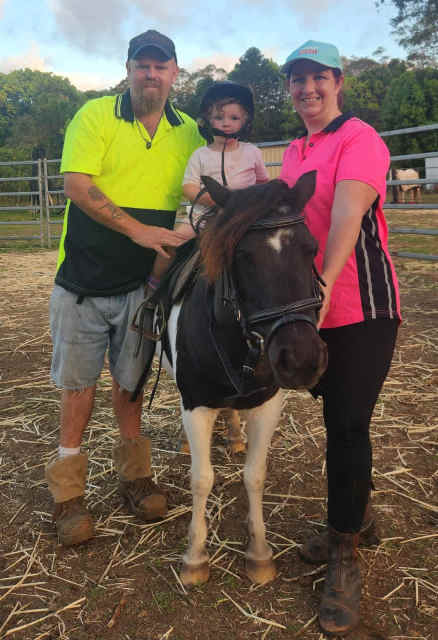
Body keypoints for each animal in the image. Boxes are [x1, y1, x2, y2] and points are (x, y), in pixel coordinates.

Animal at [162, 172, 328, 587]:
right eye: (242, 257)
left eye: (311, 248)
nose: (301, 360)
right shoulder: (196, 405)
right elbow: (202, 478)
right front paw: (195, 557)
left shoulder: (268, 404)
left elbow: (254, 475)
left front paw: (259, 553)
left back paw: (236, 436)